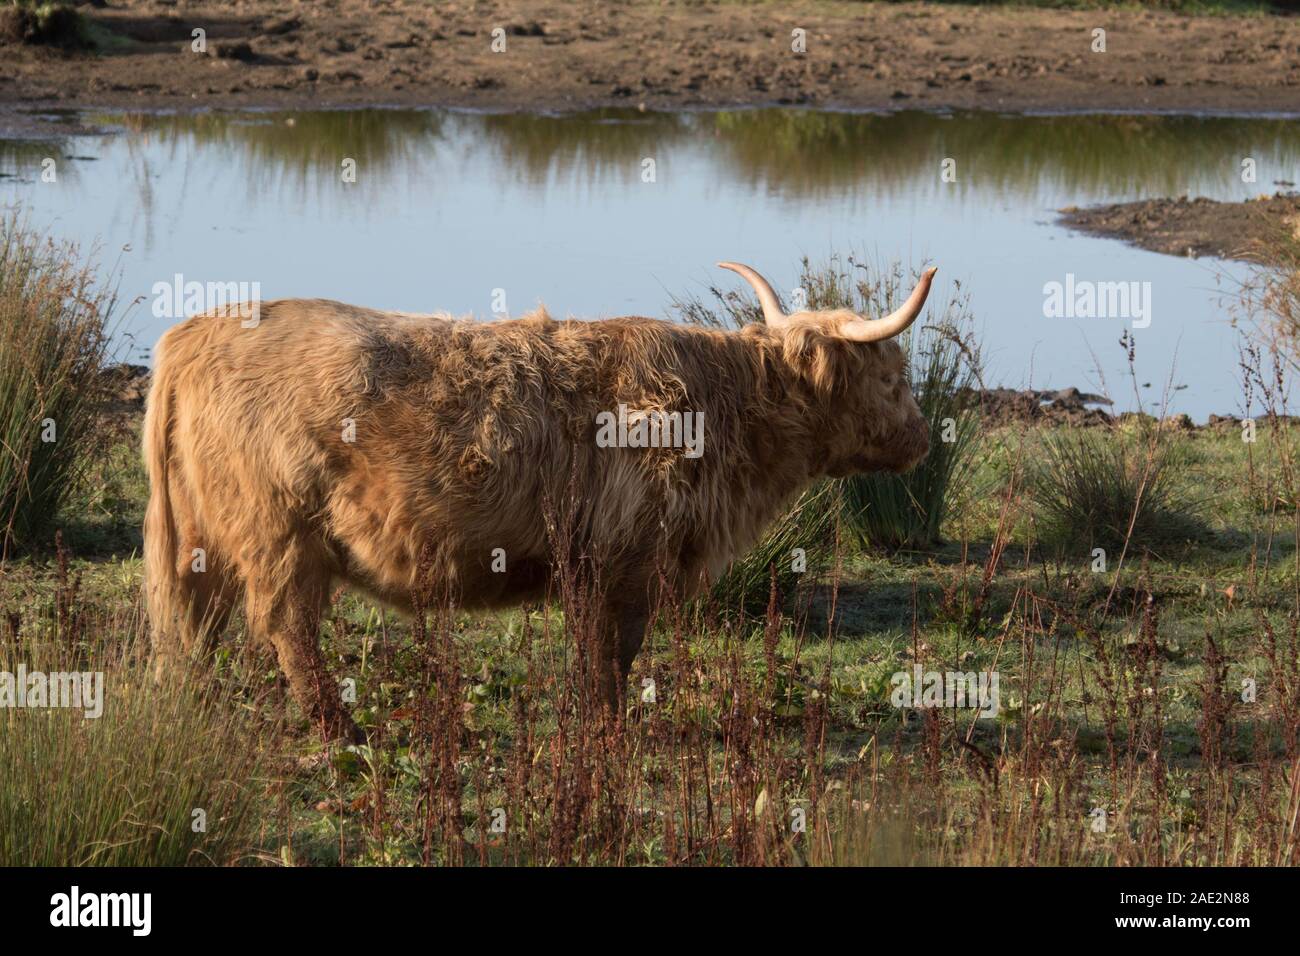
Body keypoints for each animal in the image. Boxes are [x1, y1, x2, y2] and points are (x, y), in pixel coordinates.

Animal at [144, 262, 934, 740]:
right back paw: (340, 728)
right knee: (286, 629)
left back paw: (194, 706)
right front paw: (610, 730)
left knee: (192, 627)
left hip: (202, 539)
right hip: (279, 535)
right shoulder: (624, 562)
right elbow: (613, 652)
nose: (923, 437)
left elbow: (597, 652)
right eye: (893, 376)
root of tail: (192, 332)